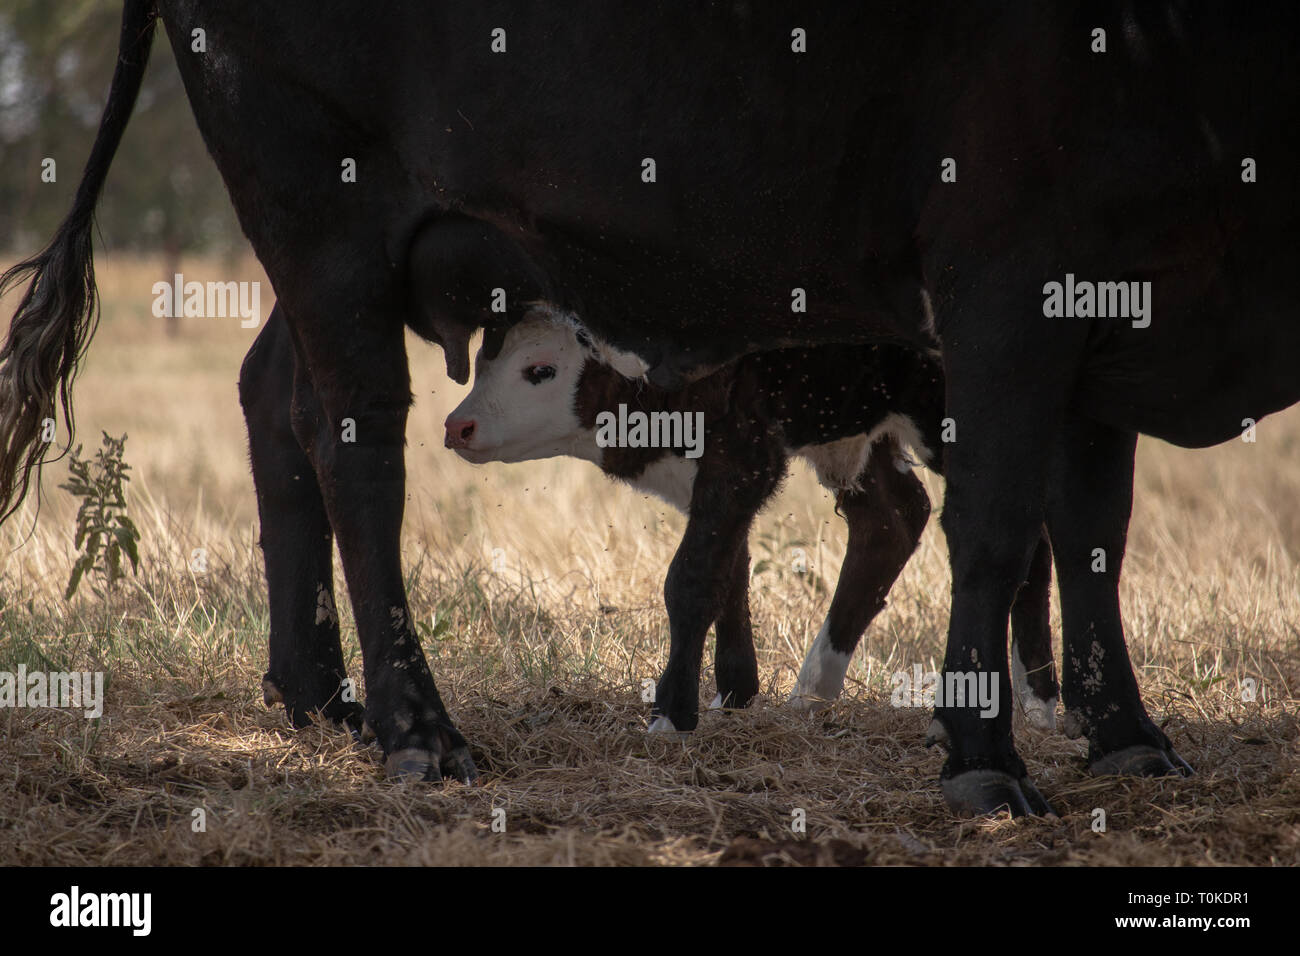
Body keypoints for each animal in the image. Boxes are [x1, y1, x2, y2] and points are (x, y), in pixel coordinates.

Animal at [443, 308, 1061, 732]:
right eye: (481, 363)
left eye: (540, 370)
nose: (457, 426)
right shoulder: (712, 471)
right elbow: (729, 571)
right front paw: (736, 692)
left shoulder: (742, 453)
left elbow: (692, 578)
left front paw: (672, 714)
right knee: (893, 519)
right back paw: (813, 690)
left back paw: (1039, 696)